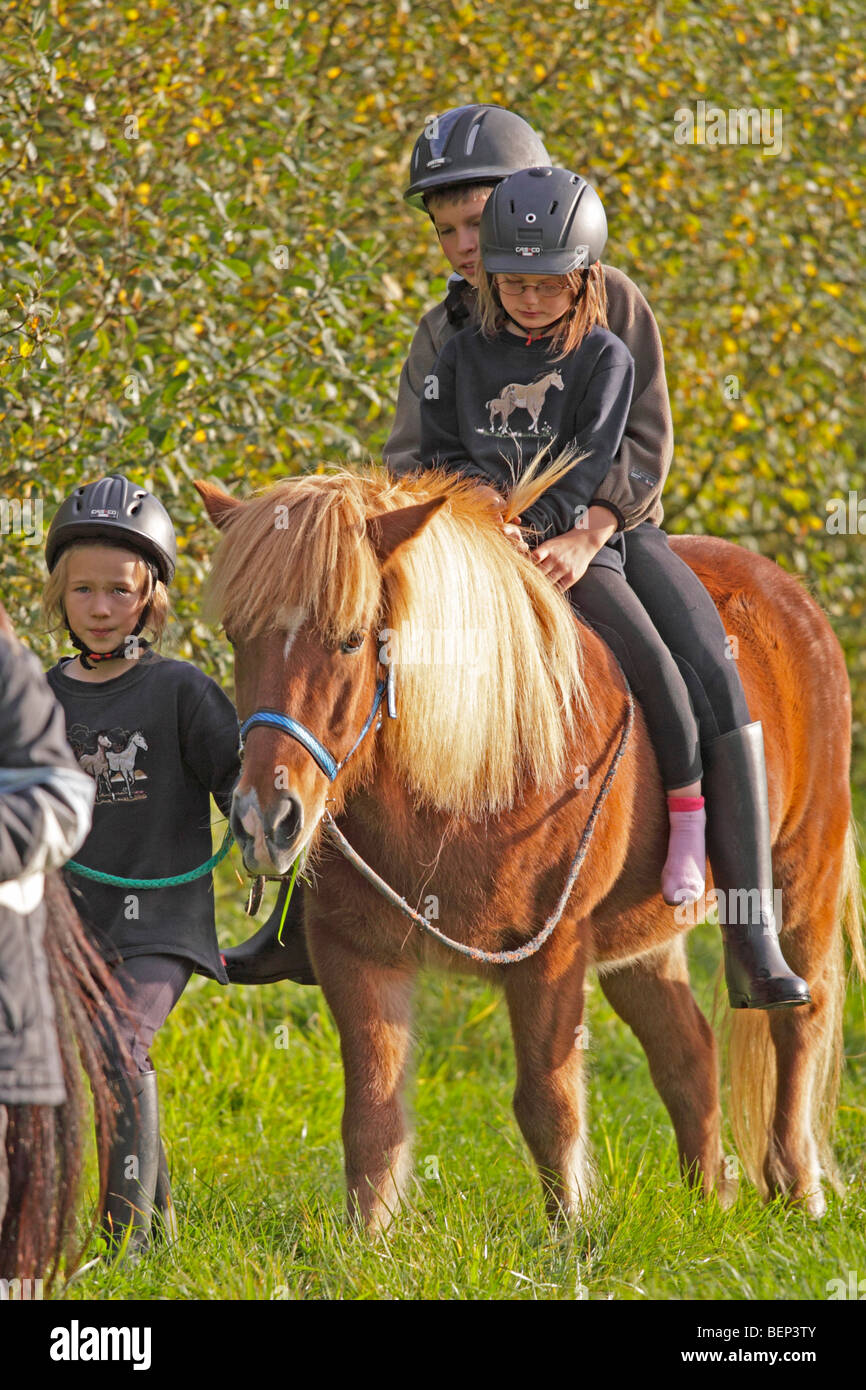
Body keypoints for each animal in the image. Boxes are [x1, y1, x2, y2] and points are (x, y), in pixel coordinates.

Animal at [196, 462, 863, 1232]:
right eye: (238, 636)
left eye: (351, 639)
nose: (263, 820)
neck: (473, 766)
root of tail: (796, 600)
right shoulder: (354, 952)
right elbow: (372, 1112)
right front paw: (369, 1241)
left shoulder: (552, 951)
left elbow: (549, 1102)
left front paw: (569, 1234)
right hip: (643, 942)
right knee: (688, 1050)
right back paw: (707, 1202)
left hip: (801, 886)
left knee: (800, 1025)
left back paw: (799, 1190)